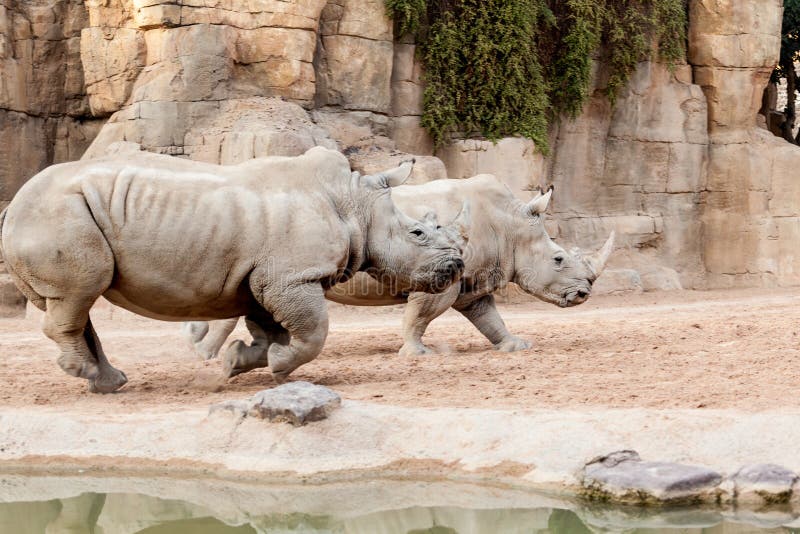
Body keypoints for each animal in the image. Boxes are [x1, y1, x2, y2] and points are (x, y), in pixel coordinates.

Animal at [0, 146, 469, 393]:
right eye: (417, 233)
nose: (458, 265)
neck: (356, 204)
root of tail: (13, 204)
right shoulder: (290, 276)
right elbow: (313, 332)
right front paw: (279, 366)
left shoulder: (265, 277)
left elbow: (270, 330)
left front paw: (236, 363)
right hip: (59, 213)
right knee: (78, 295)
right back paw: (92, 377)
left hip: (61, 213)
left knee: (79, 303)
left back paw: (109, 381)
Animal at [187, 175, 614, 368]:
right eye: (559, 259)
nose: (584, 293)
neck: (509, 225)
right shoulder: (443, 276)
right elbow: (420, 315)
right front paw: (418, 353)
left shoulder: (471, 281)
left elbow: (489, 317)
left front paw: (515, 347)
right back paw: (206, 358)